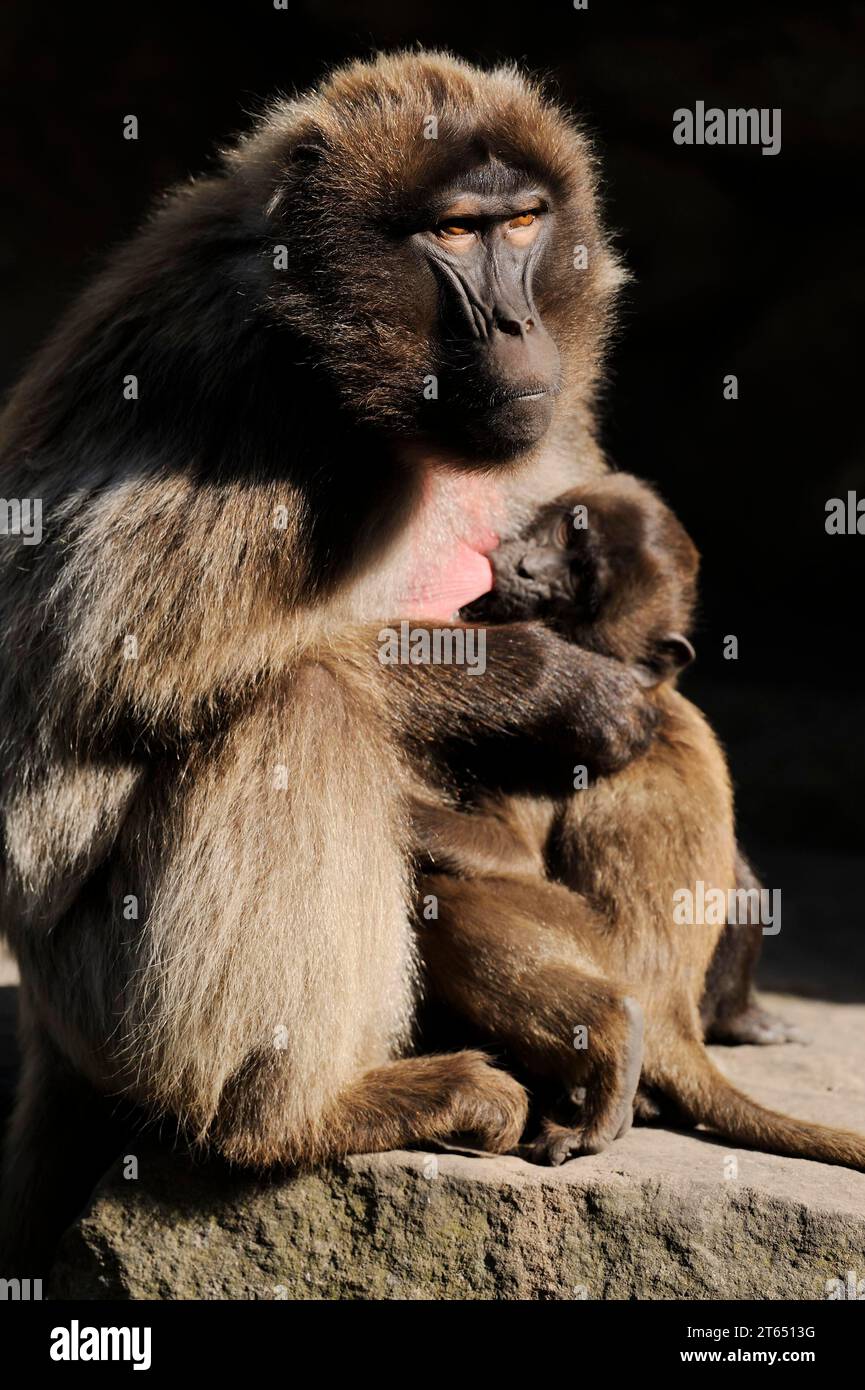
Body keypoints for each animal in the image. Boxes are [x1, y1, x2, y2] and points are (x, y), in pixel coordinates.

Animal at [0, 52, 675, 1267]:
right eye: (454, 234)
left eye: (521, 222)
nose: (516, 320)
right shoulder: (240, 393)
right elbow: (109, 677)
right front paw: (549, 685)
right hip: (100, 1000)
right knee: (301, 700)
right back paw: (297, 1116)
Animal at [411, 472, 865, 1170]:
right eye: (557, 534)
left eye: (579, 583)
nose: (522, 565)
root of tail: (673, 1004)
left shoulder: (557, 740)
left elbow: (511, 852)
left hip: (601, 949)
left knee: (446, 897)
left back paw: (614, 1043)